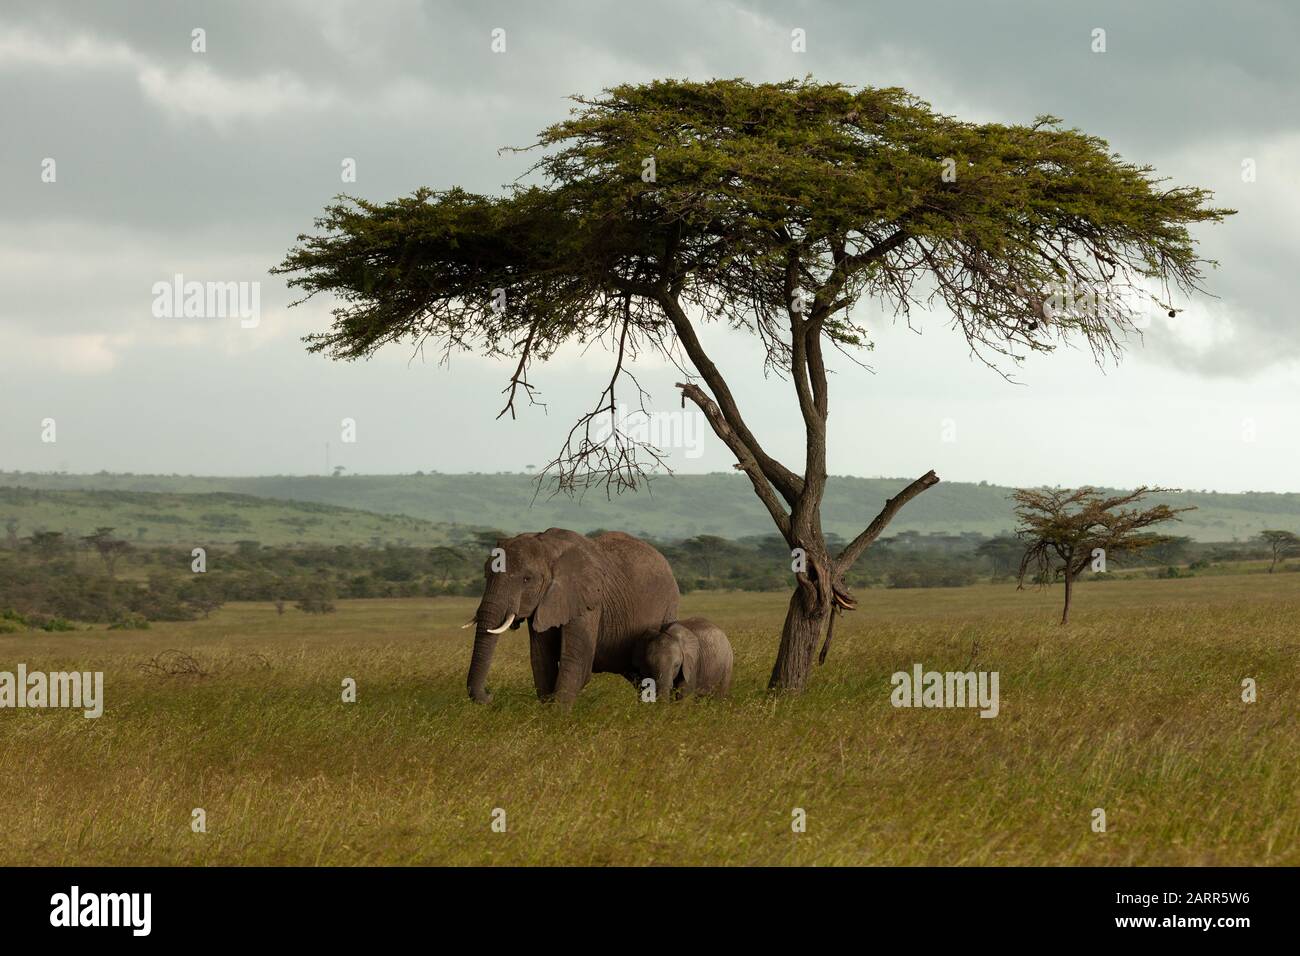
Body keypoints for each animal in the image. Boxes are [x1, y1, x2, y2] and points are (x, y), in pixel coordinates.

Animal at [464, 528, 680, 705]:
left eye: (527, 579)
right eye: (486, 575)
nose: (490, 695)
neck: (547, 546)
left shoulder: (588, 601)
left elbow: (577, 661)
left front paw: (557, 720)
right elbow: (541, 659)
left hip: (668, 606)